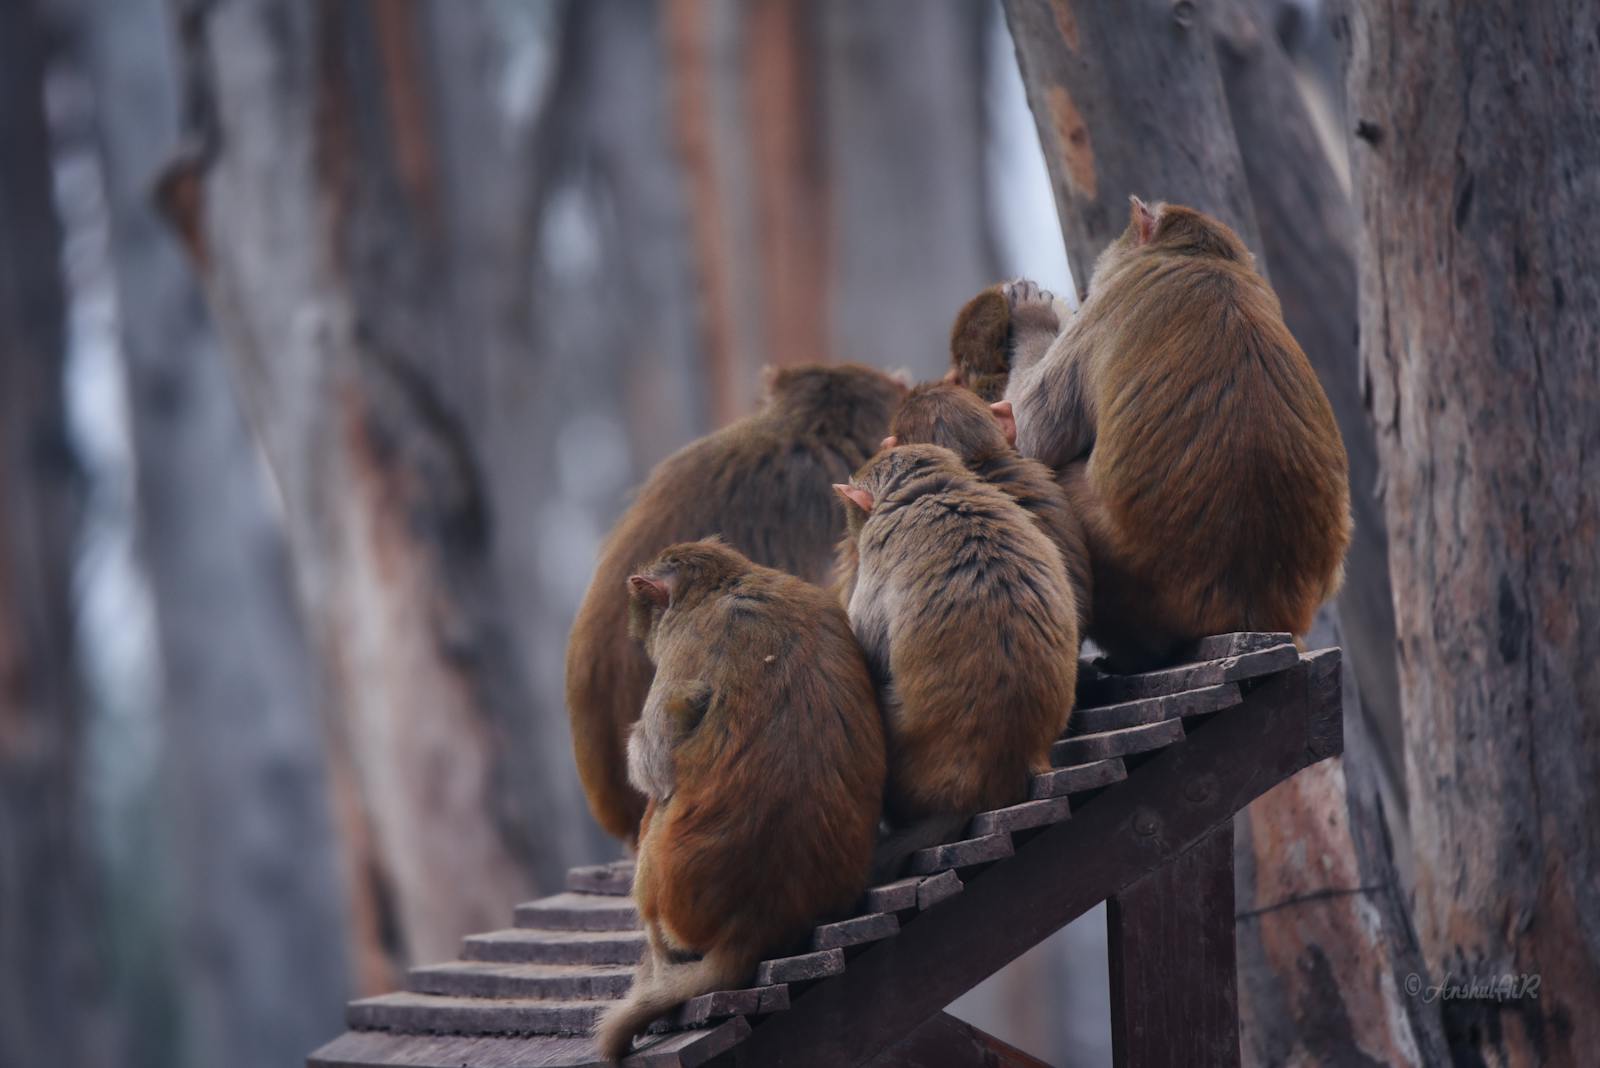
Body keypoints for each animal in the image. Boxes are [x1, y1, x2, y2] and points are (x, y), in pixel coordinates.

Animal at [593, 539, 885, 1059]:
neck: (727, 585)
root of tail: (753, 927)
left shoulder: (682, 646)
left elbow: (655, 765)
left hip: (673, 906)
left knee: (659, 804)